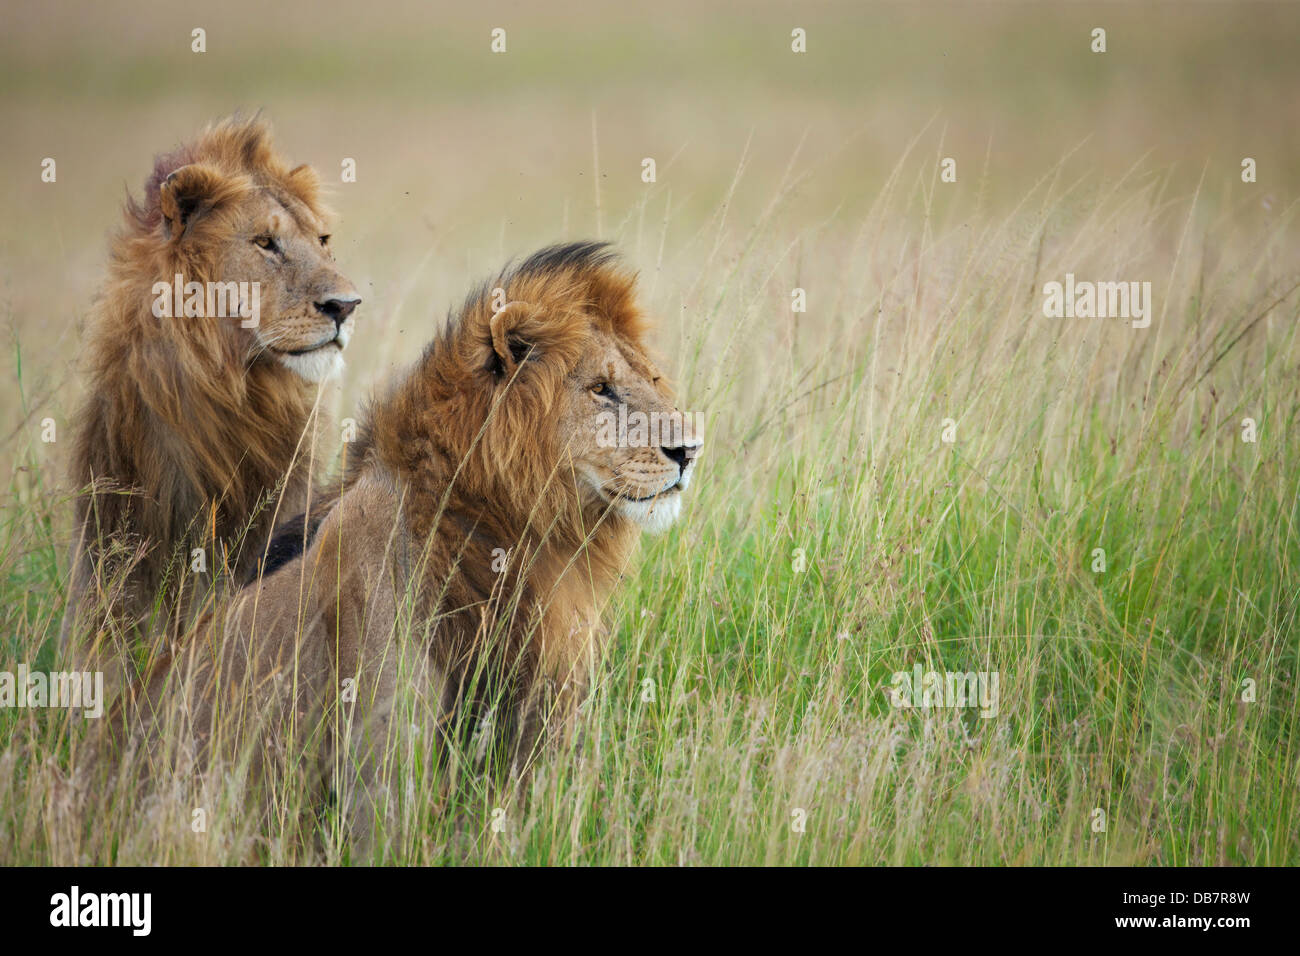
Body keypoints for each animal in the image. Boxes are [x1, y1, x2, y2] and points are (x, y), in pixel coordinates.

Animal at [96, 242, 701, 849]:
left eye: (653, 379)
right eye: (600, 389)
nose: (689, 449)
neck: (512, 530)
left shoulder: (538, 715)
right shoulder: (380, 744)